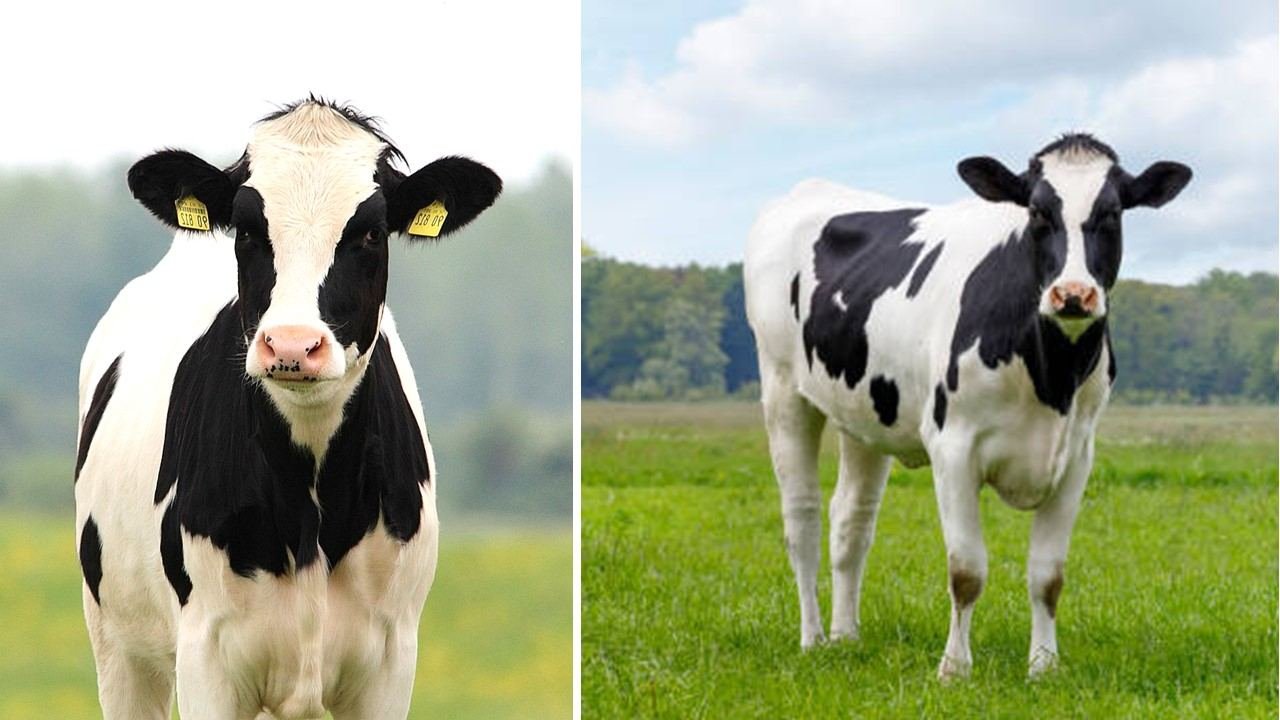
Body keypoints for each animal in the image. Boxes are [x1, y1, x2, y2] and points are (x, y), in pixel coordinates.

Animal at [74, 98, 501, 719]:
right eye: (250, 229)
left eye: (371, 232)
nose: (294, 344)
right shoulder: (205, 657)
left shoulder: (392, 659)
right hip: (118, 646)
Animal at [743, 134, 1191, 680]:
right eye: (1037, 212)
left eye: (1111, 213)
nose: (1073, 294)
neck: (1050, 375)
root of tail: (808, 189)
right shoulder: (952, 447)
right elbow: (966, 570)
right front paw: (954, 669)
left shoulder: (1076, 457)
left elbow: (1048, 576)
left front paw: (1043, 666)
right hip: (782, 388)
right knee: (802, 516)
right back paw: (812, 639)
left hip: (862, 412)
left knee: (852, 518)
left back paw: (846, 637)